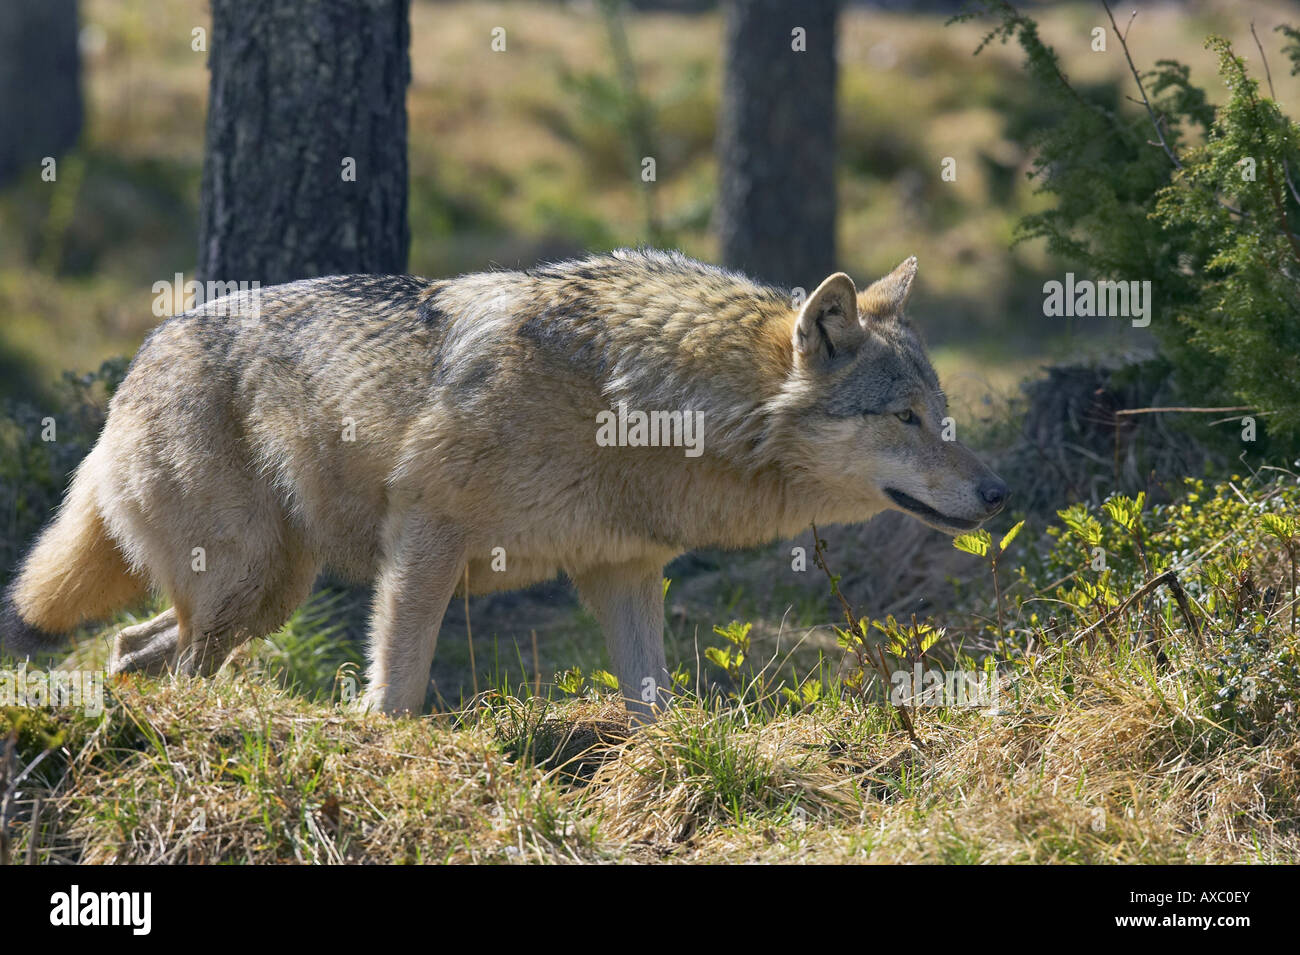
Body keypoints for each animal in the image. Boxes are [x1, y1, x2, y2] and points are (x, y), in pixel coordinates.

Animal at [1, 250, 1007, 720]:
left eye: (942, 411)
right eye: (905, 417)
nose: (1000, 495)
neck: (636, 402)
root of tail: (143, 351)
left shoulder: (622, 569)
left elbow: (655, 703)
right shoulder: (427, 532)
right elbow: (397, 686)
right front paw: (380, 740)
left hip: (262, 596)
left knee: (133, 646)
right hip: (252, 587)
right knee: (156, 653)